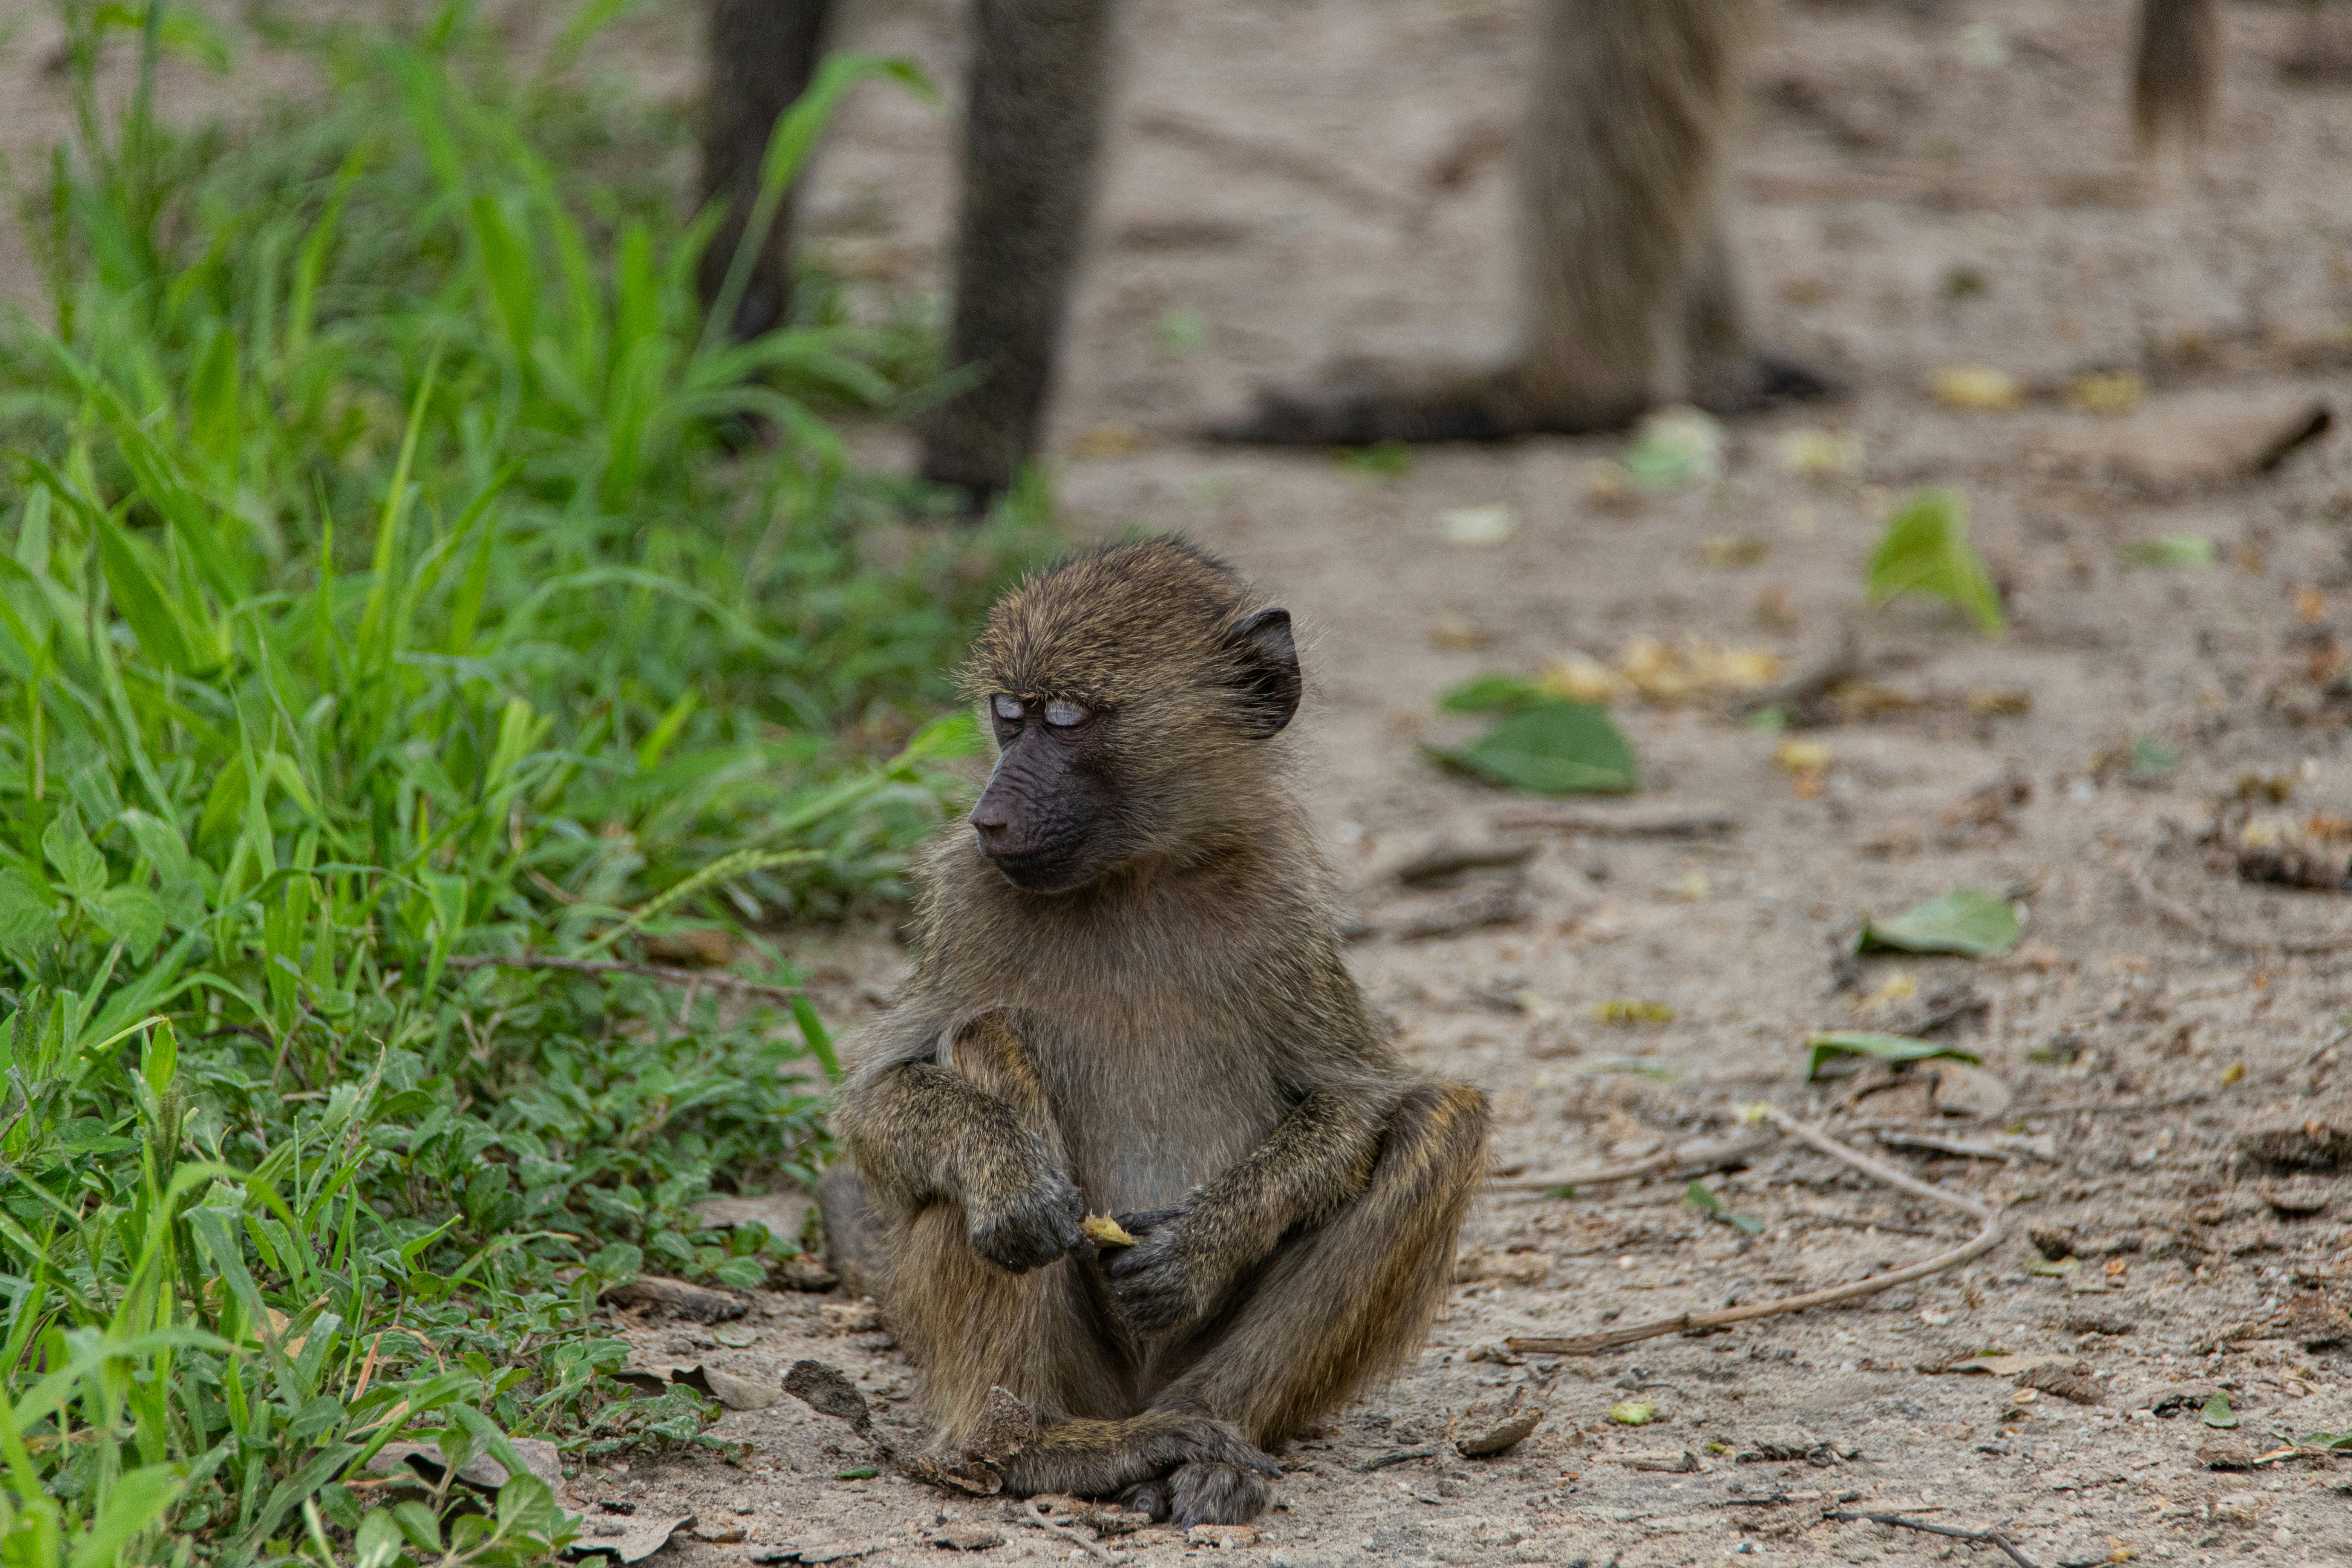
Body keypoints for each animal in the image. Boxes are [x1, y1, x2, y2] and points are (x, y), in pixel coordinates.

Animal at [825, 537, 1490, 1526]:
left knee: (1441, 1121)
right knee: (982, 1042)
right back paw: (1037, 1449)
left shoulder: (1283, 912)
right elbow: (878, 1101)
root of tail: (1133, 1399)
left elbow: (1357, 1098)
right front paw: (1009, 1178)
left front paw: (1201, 1248)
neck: (1131, 875)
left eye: (1065, 719)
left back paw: (1209, 1440)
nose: (990, 816)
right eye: (1008, 716)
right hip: (1078, 1373)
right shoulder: (967, 897)